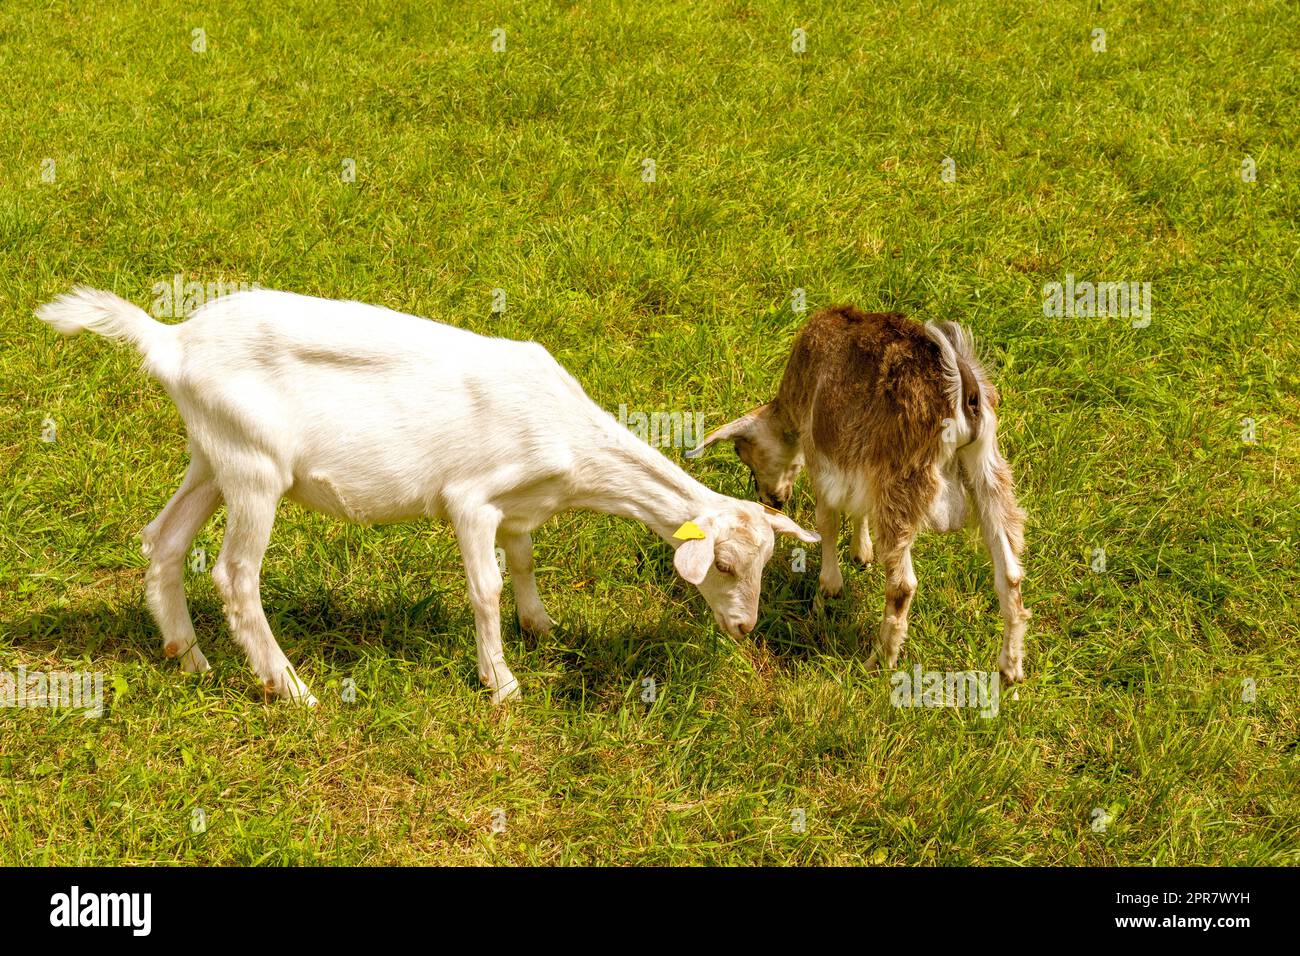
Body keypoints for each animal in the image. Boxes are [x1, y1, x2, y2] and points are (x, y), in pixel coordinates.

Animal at [35, 287, 818, 705]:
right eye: (723, 565)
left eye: (766, 563)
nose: (745, 628)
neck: (570, 441)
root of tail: (170, 341)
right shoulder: (471, 499)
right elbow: (485, 587)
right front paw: (502, 683)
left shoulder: (522, 509)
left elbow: (523, 564)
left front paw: (543, 628)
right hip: (255, 468)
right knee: (234, 575)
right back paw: (291, 688)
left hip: (211, 454)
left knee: (163, 539)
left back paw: (188, 658)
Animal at [687, 305, 1029, 685]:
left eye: (743, 453)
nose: (771, 500)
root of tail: (962, 395)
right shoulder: (860, 462)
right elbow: (858, 508)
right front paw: (861, 553)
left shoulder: (821, 458)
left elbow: (827, 521)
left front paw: (830, 586)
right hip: (988, 472)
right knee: (1010, 572)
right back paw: (1010, 670)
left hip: (904, 481)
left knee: (903, 585)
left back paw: (879, 663)